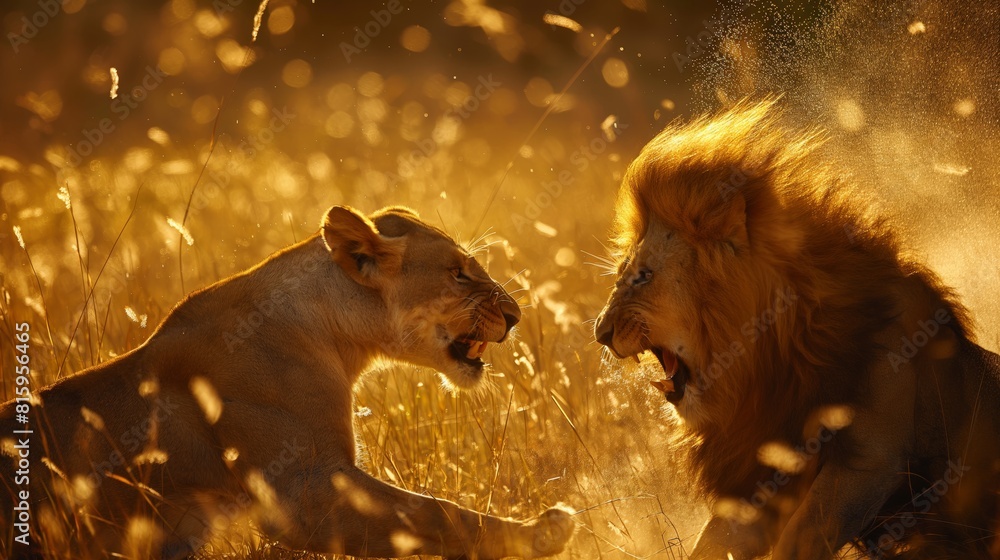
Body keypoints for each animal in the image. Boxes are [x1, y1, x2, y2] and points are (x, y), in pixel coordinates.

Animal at [0, 206, 574, 559]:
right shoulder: (302, 491)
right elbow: (435, 513)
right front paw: (541, 532)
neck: (336, 333)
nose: (516, 315)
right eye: (458, 273)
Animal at [594, 100, 1000, 559]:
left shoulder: (869, 465)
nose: (600, 333)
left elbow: (797, 540)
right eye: (622, 273)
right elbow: (710, 542)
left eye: (644, 276)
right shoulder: (763, 468)